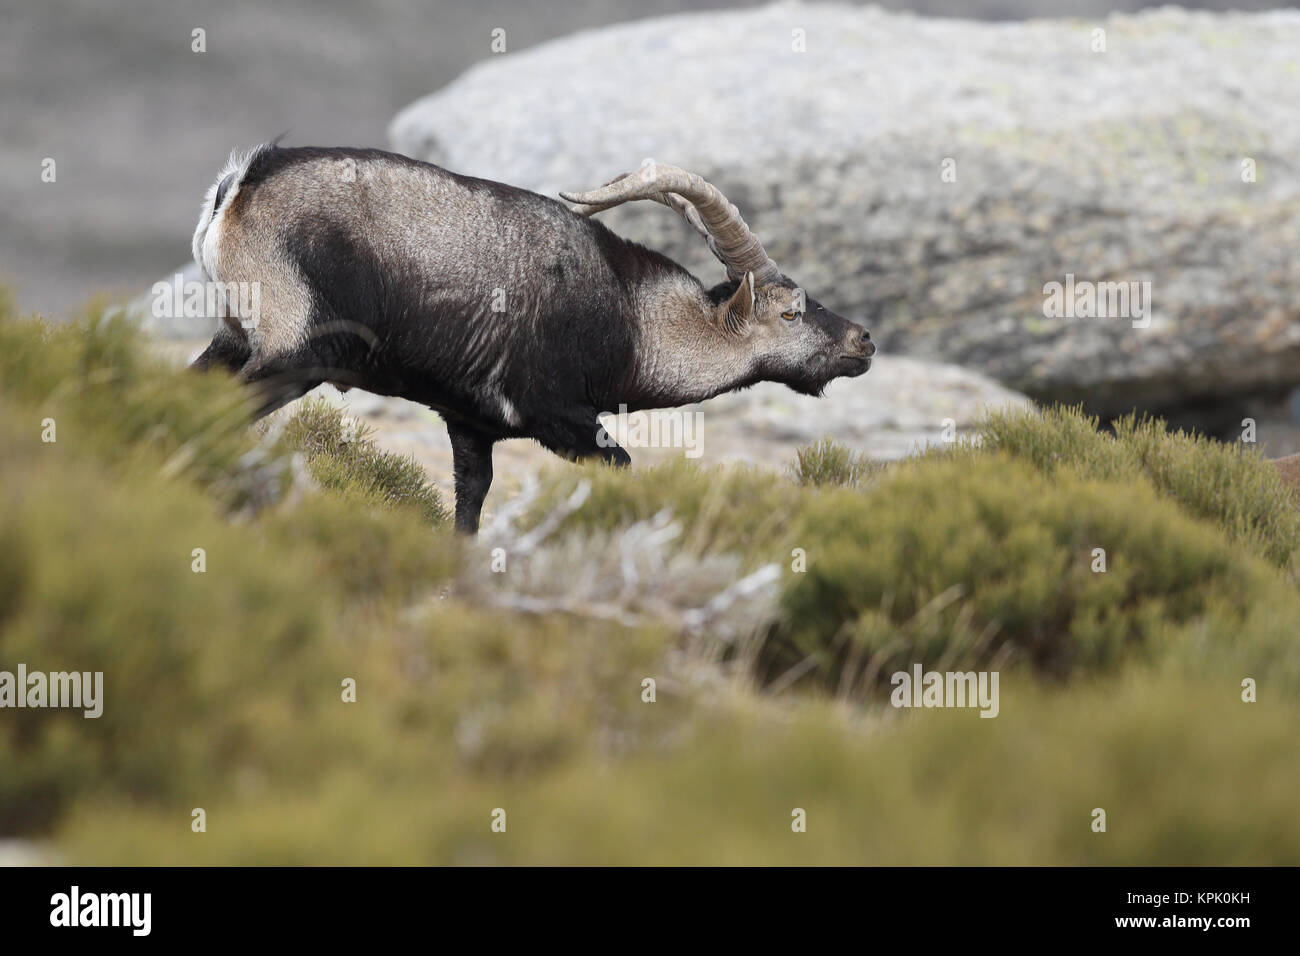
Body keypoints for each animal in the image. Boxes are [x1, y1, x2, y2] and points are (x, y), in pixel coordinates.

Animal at [190, 146, 875, 531]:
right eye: (791, 312)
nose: (863, 341)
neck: (632, 317)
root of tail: (241, 183)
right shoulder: (559, 415)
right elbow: (620, 465)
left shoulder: (471, 425)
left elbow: (469, 506)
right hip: (297, 351)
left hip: (236, 339)